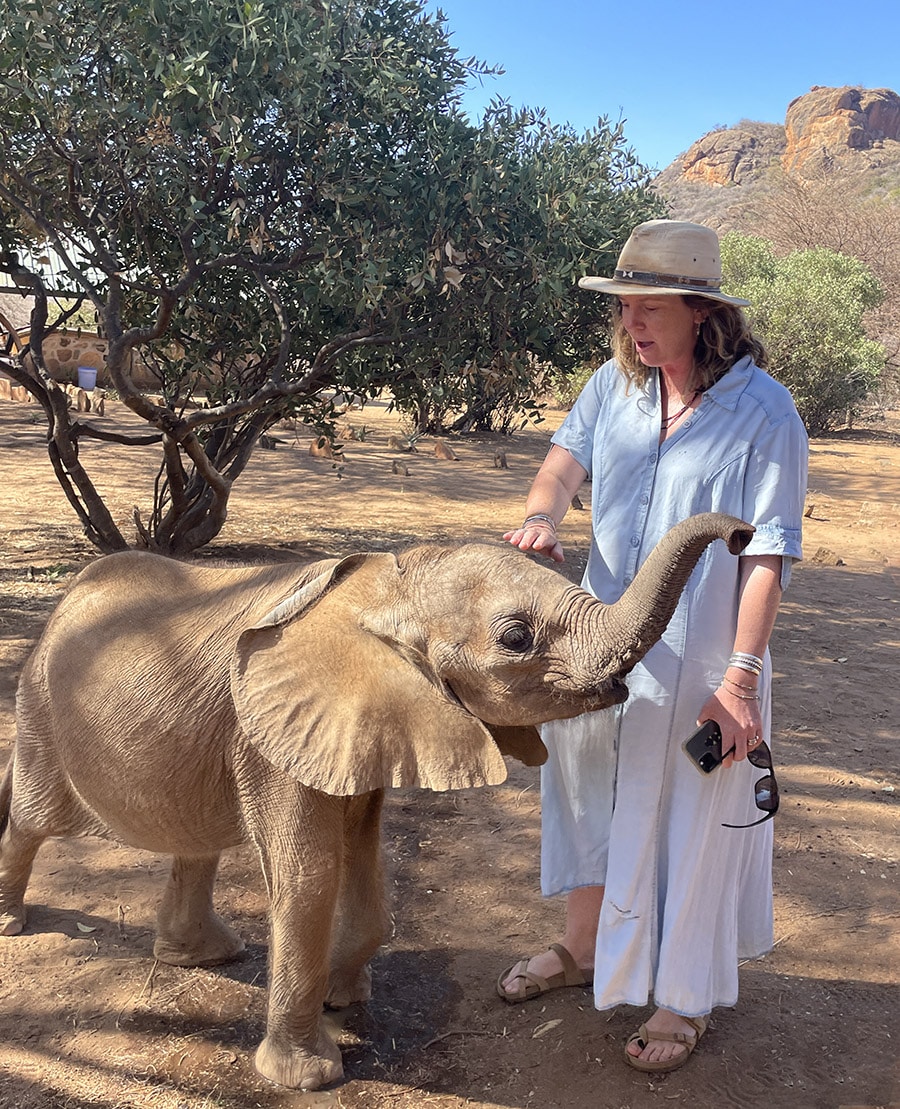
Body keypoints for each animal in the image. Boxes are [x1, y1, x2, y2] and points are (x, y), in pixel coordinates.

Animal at [0, 512, 751, 1091]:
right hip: (40, 707)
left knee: (196, 840)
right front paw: (309, 1075)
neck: (385, 588)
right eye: (516, 638)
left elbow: (366, 861)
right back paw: (14, 923)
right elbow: (311, 876)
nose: (743, 535)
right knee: (36, 819)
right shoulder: (272, 731)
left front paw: (344, 999)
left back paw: (207, 958)